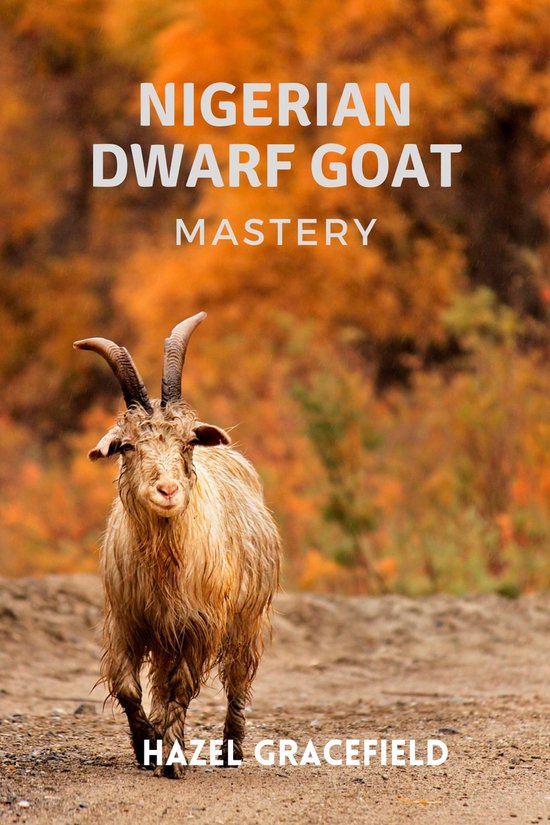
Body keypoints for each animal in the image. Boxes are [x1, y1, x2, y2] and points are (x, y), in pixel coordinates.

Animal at [74, 312, 281, 778]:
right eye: (128, 445)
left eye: (187, 442)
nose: (167, 490)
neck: (165, 562)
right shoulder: (126, 620)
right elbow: (128, 687)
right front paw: (146, 746)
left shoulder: (199, 624)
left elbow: (182, 687)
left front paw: (171, 759)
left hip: (247, 621)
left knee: (236, 681)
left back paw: (230, 750)